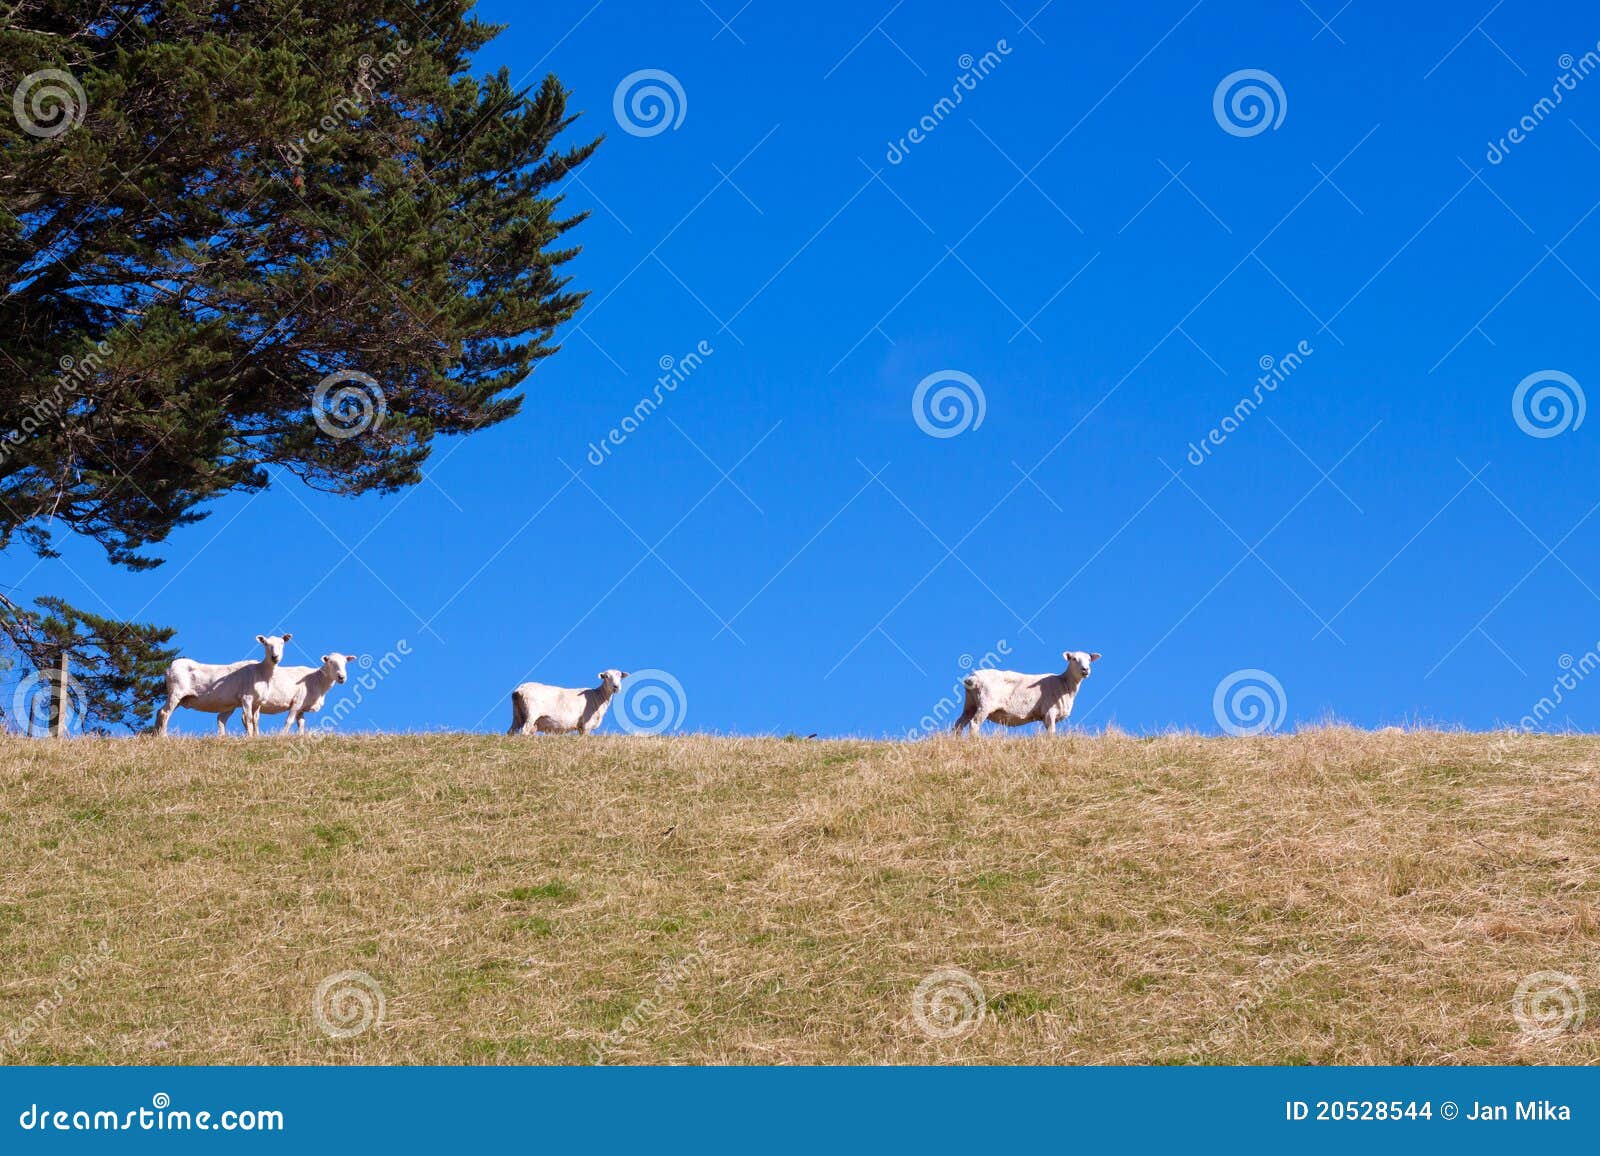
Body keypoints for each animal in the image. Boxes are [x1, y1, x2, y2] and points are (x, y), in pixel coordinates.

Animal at [154, 633, 291, 736]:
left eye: (282, 643)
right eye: (266, 644)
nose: (274, 657)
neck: (261, 671)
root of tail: (170, 668)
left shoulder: (258, 702)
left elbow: (256, 720)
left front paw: (256, 737)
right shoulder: (246, 697)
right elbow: (248, 719)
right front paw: (250, 737)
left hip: (181, 697)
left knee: (160, 711)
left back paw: (156, 736)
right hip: (176, 692)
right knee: (165, 713)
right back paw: (164, 737)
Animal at [952, 650, 1101, 736]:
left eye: (1089, 660)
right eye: (1073, 659)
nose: (1085, 670)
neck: (1064, 683)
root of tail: (972, 677)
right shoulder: (1049, 712)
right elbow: (1051, 733)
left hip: (970, 704)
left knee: (959, 724)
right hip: (985, 703)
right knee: (974, 724)